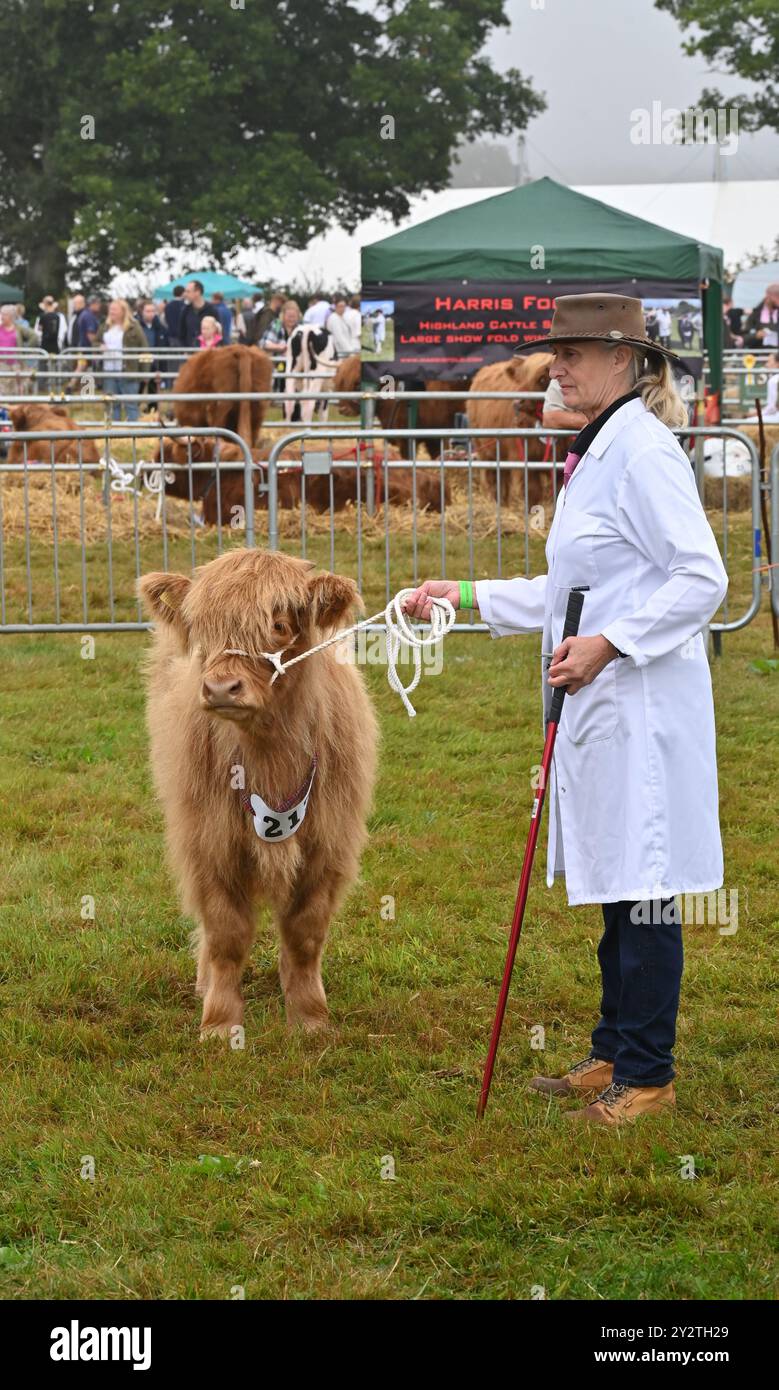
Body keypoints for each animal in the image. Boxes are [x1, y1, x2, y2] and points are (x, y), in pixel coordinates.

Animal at [138, 548, 378, 1035]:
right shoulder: (209, 845)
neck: (270, 757)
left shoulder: (329, 845)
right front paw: (219, 1022)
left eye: (280, 625)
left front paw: (309, 1017)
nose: (219, 688)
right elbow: (226, 935)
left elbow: (305, 934)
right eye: (203, 628)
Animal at [466, 352, 556, 507]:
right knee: (493, 479)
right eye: (521, 377)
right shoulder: (523, 459)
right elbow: (532, 491)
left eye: (542, 378)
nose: (518, 402)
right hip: (485, 451)